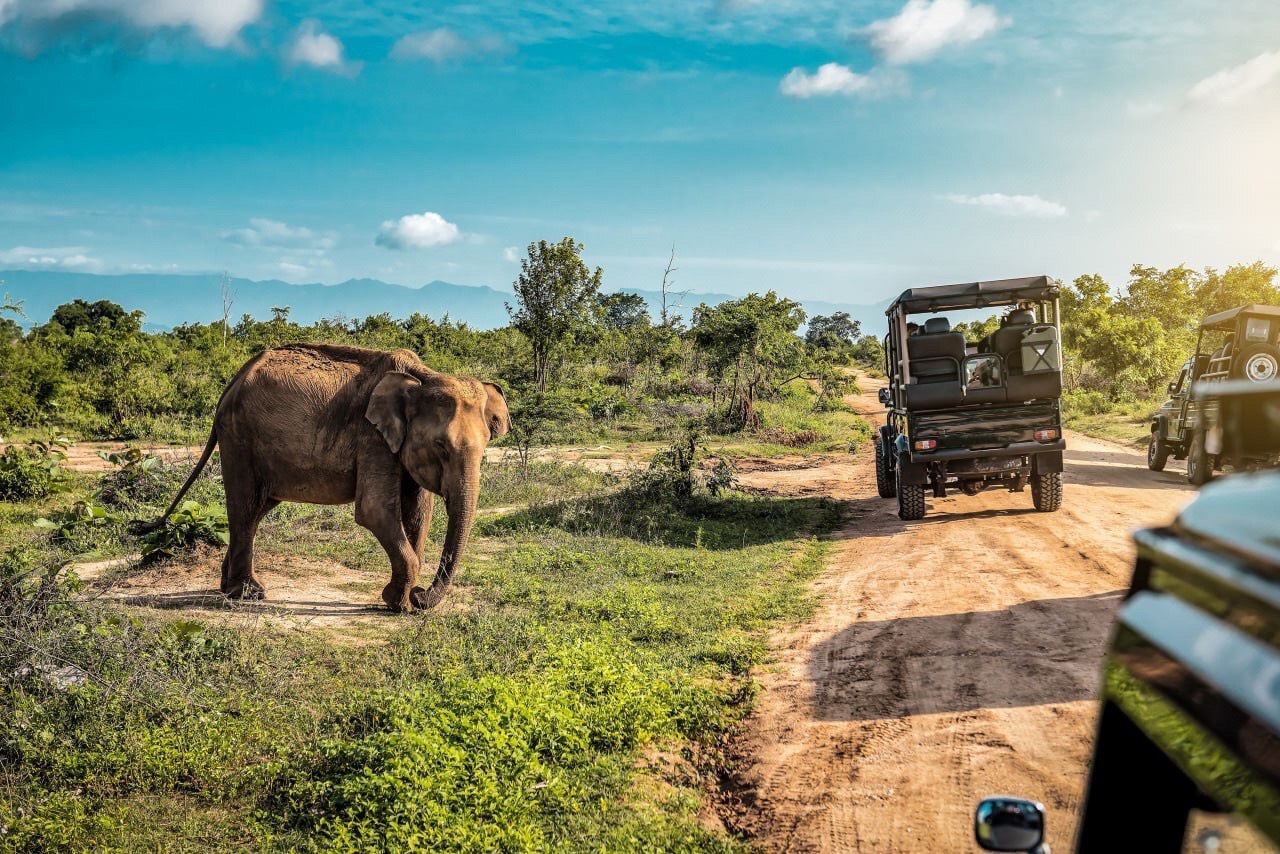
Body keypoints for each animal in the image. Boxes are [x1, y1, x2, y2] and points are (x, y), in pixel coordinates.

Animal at [148, 343, 509, 612]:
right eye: (440, 446)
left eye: (486, 446)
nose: (422, 596)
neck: (422, 376)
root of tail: (231, 384)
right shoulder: (372, 437)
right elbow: (375, 511)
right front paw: (398, 602)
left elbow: (420, 513)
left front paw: (404, 603)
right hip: (238, 438)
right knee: (245, 506)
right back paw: (246, 595)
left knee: (257, 509)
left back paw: (230, 588)